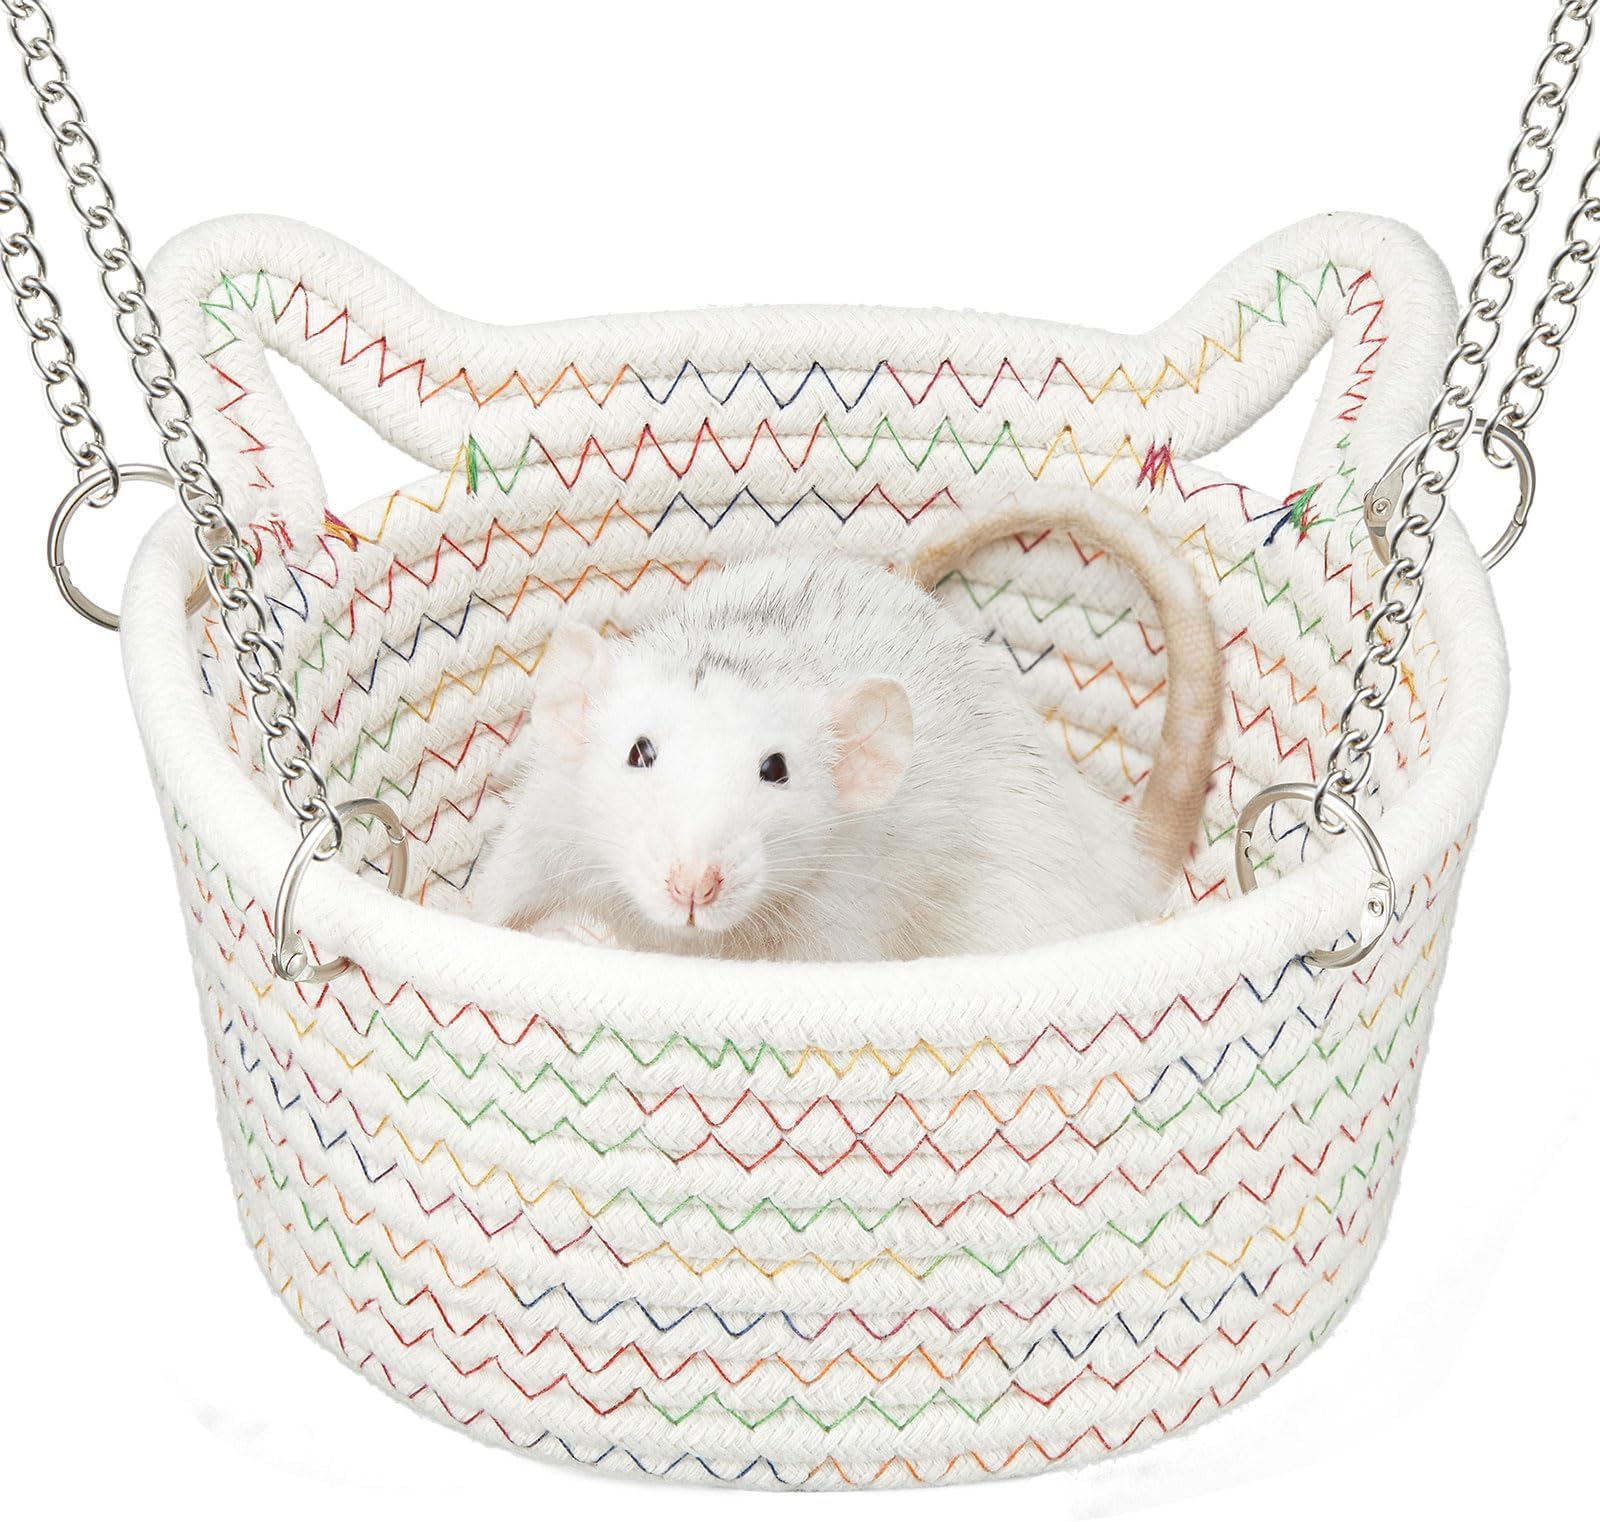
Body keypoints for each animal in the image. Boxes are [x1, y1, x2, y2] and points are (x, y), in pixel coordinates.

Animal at [471, 525, 1220, 962]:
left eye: (775, 769)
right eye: (639, 752)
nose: (694, 882)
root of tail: (1121, 861)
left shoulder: (841, 916)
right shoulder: (548, 820)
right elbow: (499, 897)